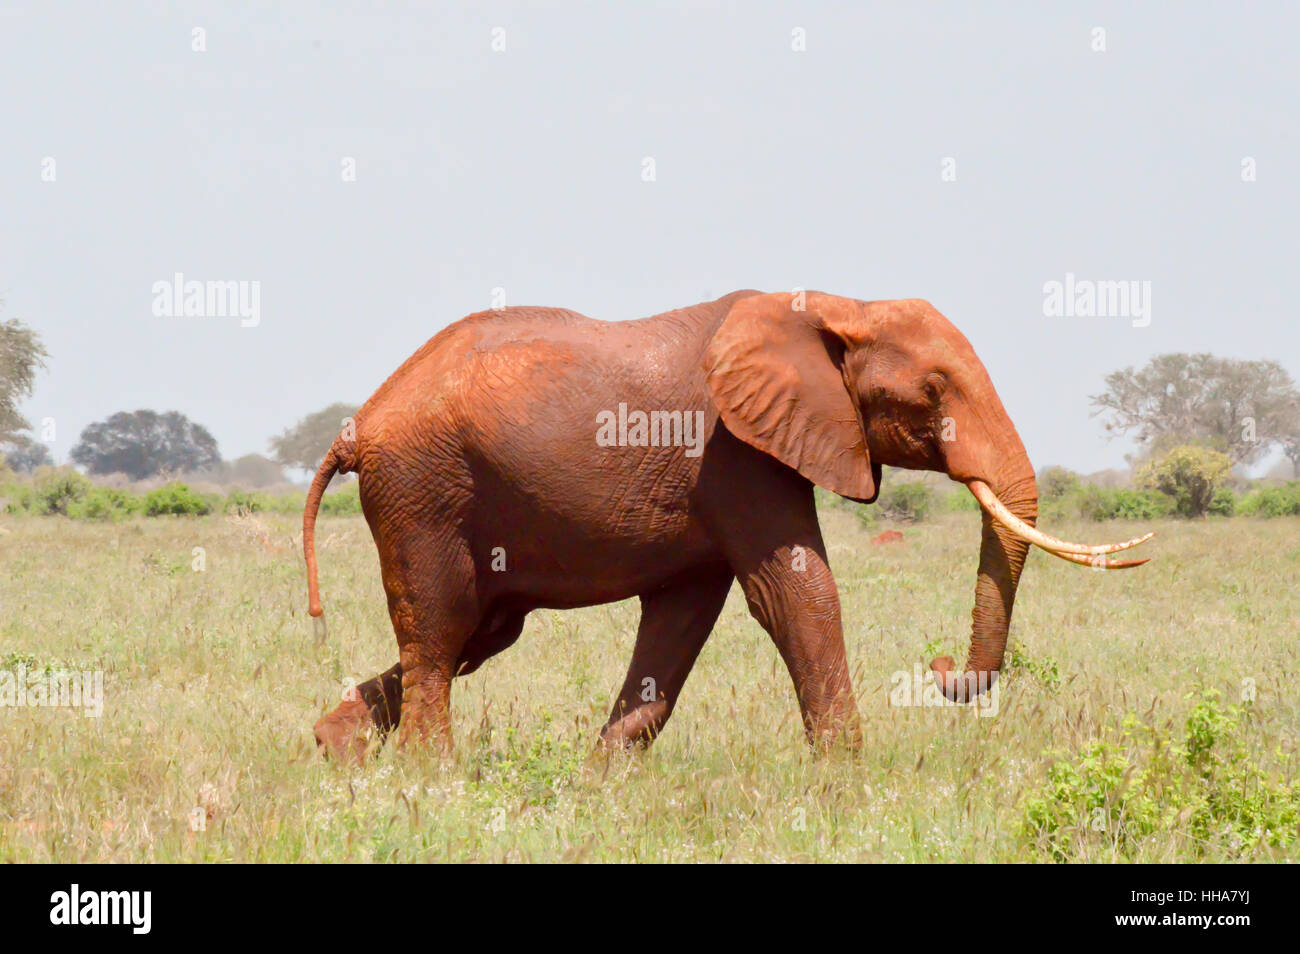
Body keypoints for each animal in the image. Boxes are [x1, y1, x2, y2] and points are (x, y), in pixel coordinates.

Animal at [305, 291, 1151, 761]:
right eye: (933, 390)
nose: (939, 663)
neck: (835, 304)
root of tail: (358, 425)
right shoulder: (739, 453)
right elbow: (796, 593)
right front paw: (847, 783)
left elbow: (682, 623)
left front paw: (597, 786)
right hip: (422, 489)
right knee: (441, 628)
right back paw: (433, 782)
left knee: (479, 633)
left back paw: (336, 751)